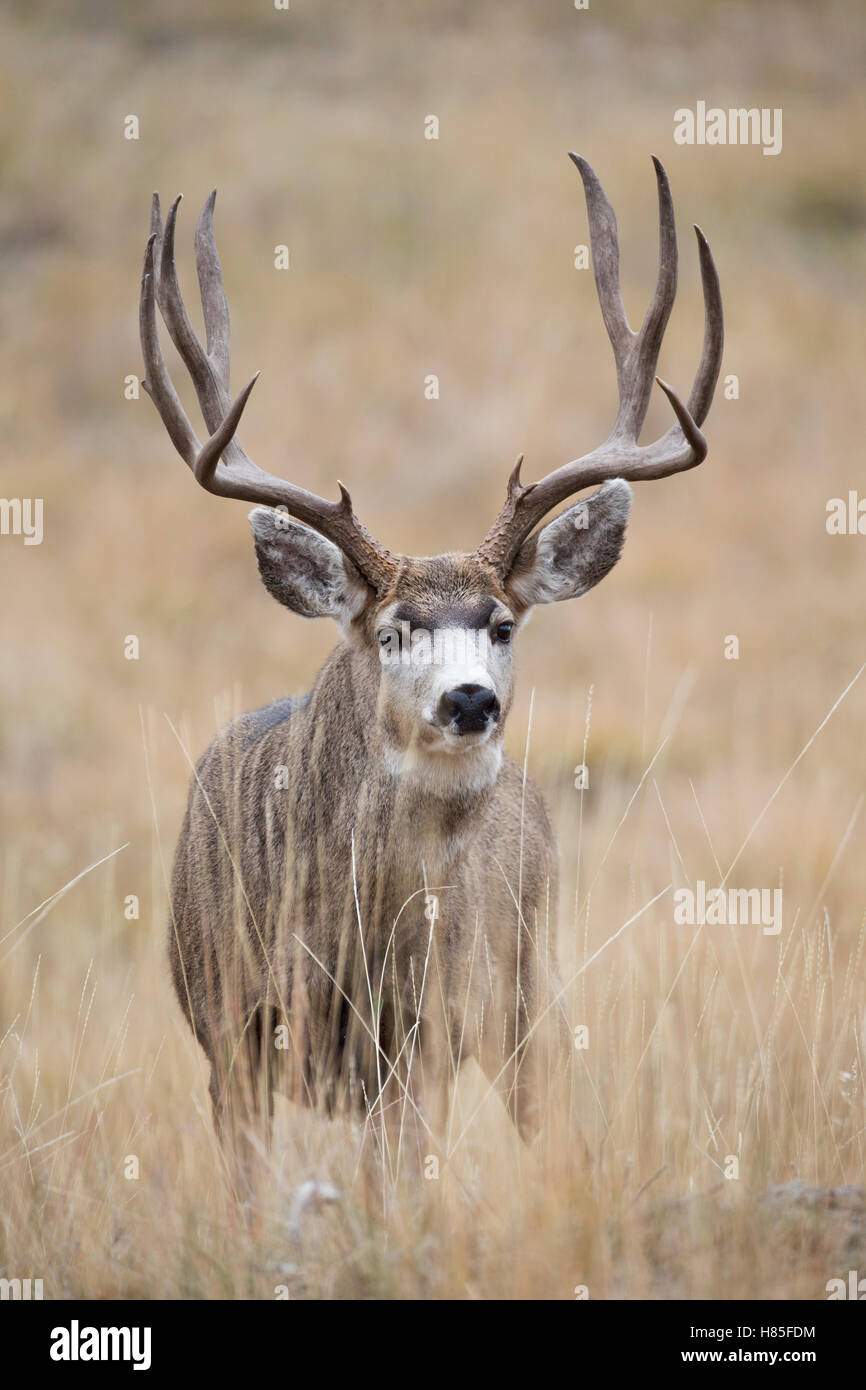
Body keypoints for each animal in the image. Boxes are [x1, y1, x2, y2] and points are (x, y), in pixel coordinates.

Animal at [139, 155, 723, 1183]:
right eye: (393, 630)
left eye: (502, 624)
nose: (471, 700)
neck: (338, 930)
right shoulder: (230, 1037)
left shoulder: (419, 1035)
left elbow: (399, 1186)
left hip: (528, 998)